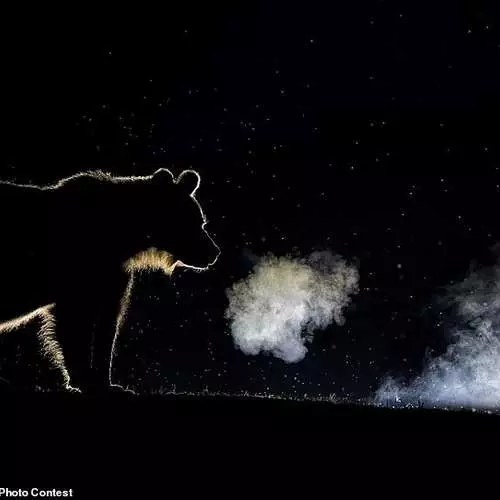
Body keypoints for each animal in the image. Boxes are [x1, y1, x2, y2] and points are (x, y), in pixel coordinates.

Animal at [0, 169, 221, 394]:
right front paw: (84, 379)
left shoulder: (113, 277)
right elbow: (75, 324)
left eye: (201, 221)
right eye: (192, 222)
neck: (123, 239)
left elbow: (107, 326)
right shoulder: (78, 278)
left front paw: (107, 382)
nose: (214, 252)